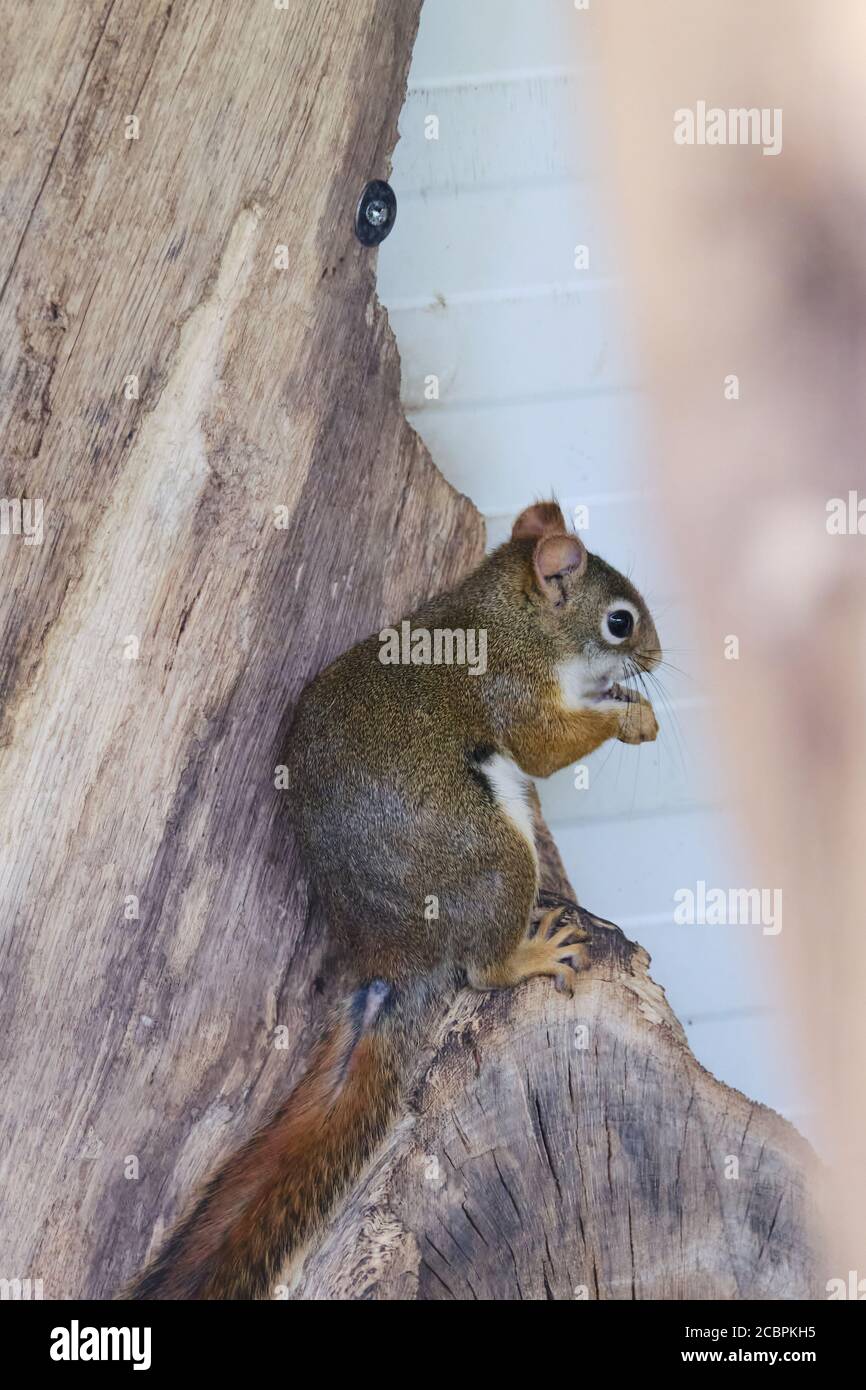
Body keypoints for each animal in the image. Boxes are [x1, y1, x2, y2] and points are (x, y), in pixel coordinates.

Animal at [126, 500, 660, 1300]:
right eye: (619, 622)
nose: (655, 658)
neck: (510, 618)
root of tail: (391, 958)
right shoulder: (511, 691)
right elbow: (547, 747)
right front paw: (627, 718)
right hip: (494, 854)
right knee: (480, 967)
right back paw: (531, 952)